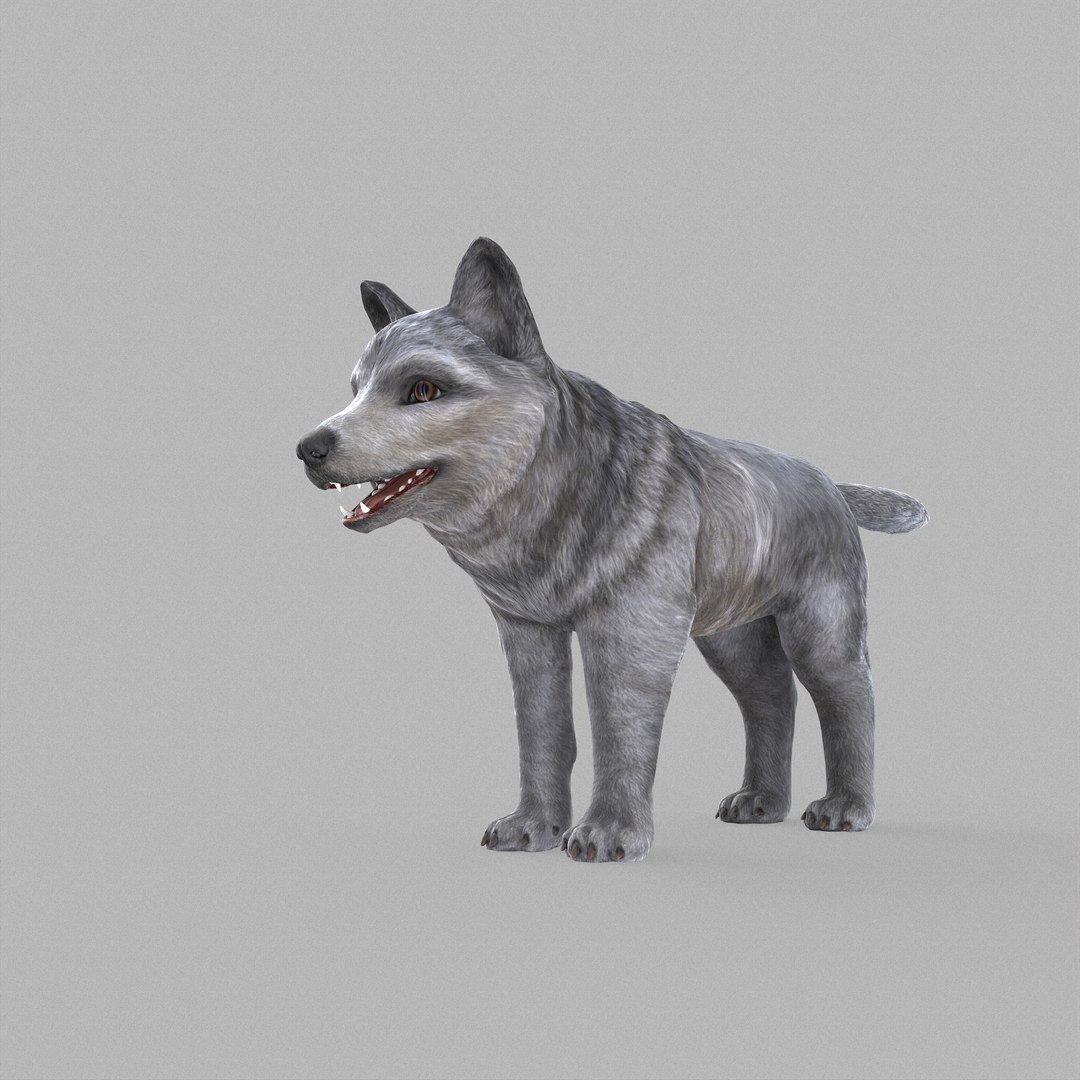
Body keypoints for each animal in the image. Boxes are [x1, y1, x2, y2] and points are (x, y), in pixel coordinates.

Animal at [297, 238, 927, 863]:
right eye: (356, 390)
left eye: (423, 389)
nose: (307, 448)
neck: (556, 496)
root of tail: (831, 485)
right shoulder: (527, 633)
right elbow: (542, 732)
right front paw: (533, 827)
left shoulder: (630, 633)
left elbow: (619, 731)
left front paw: (609, 835)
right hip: (731, 638)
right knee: (772, 696)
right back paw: (760, 803)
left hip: (819, 635)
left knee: (850, 696)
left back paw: (845, 808)